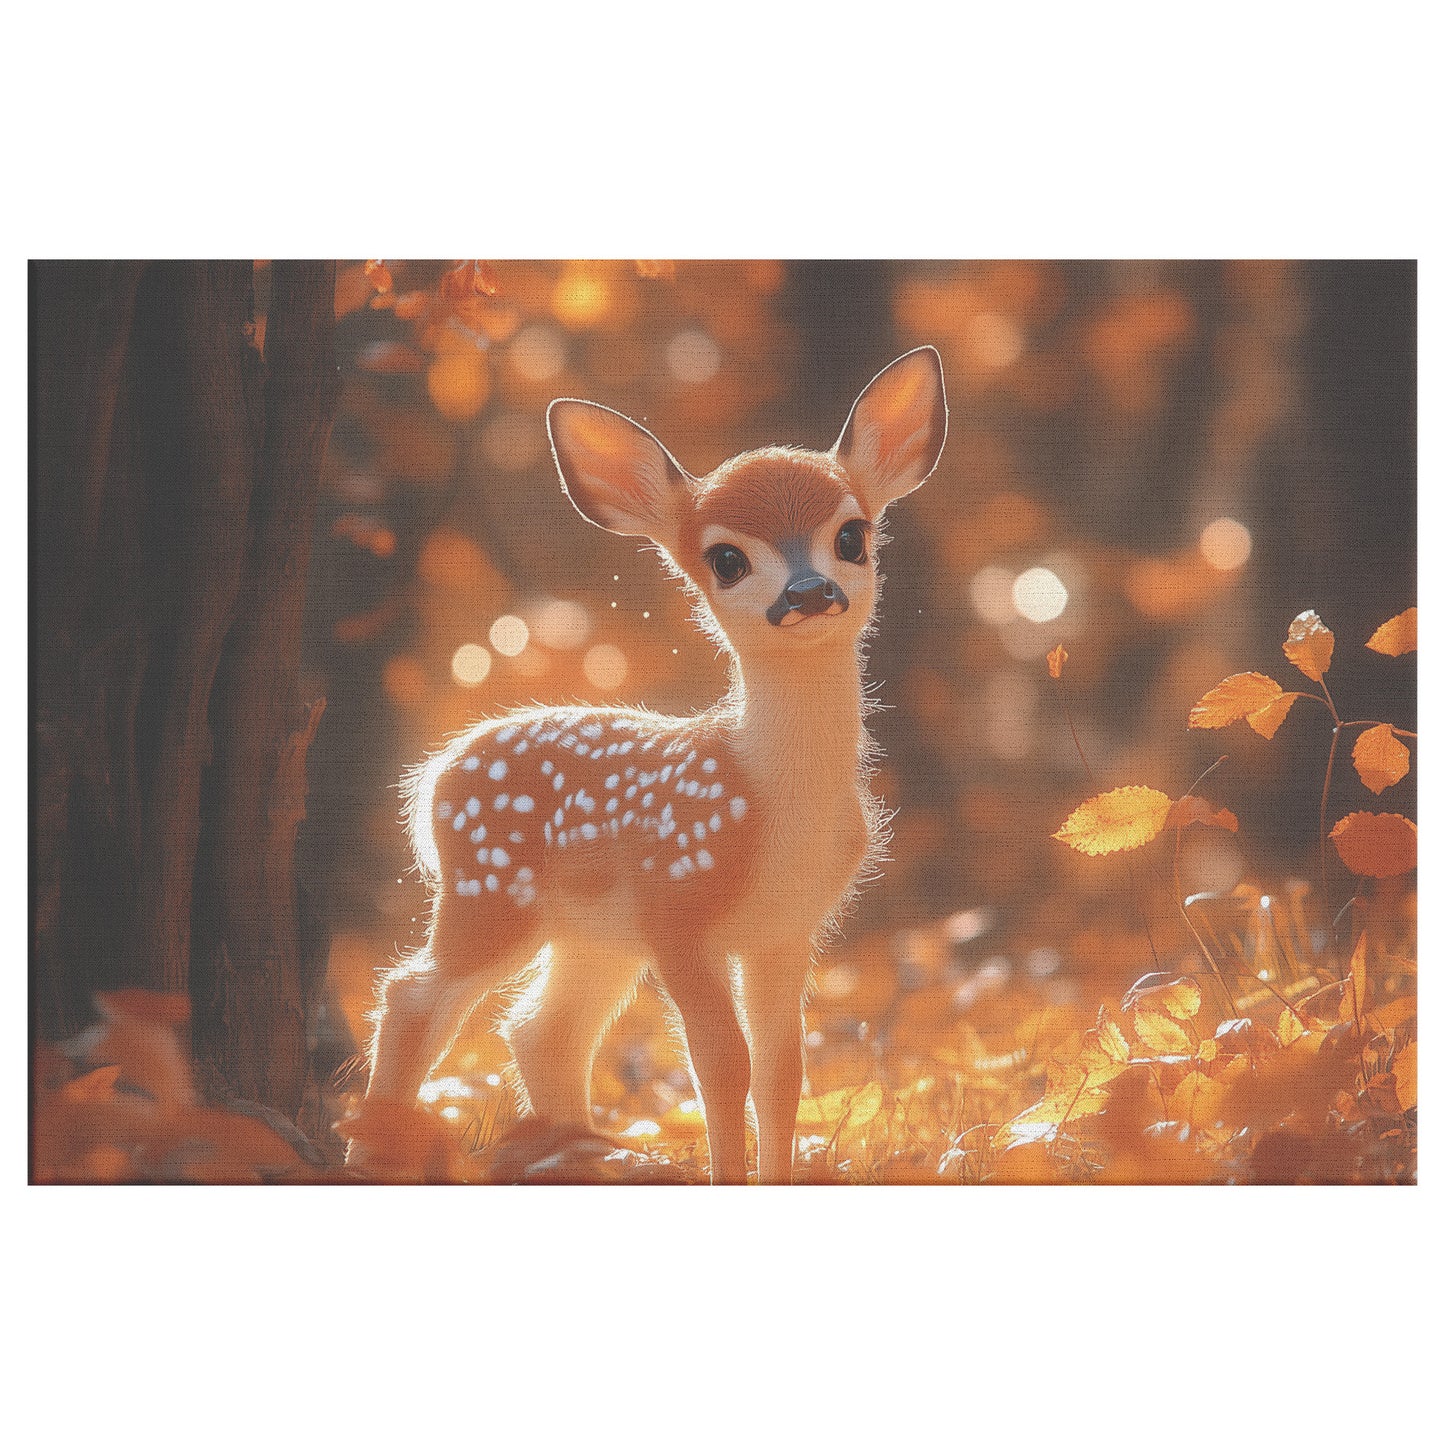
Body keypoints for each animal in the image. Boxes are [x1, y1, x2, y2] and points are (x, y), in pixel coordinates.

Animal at [349, 347, 947, 1183]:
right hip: (491, 890)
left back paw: (569, 1157)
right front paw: (728, 1179)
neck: (773, 796)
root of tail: (433, 774)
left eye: (851, 536)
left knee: (541, 1028)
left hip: (591, 933)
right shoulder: (678, 907)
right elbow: (720, 1063)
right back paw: (372, 1151)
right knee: (414, 993)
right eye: (725, 559)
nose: (808, 592)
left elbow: (783, 1068)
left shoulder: (786, 928)